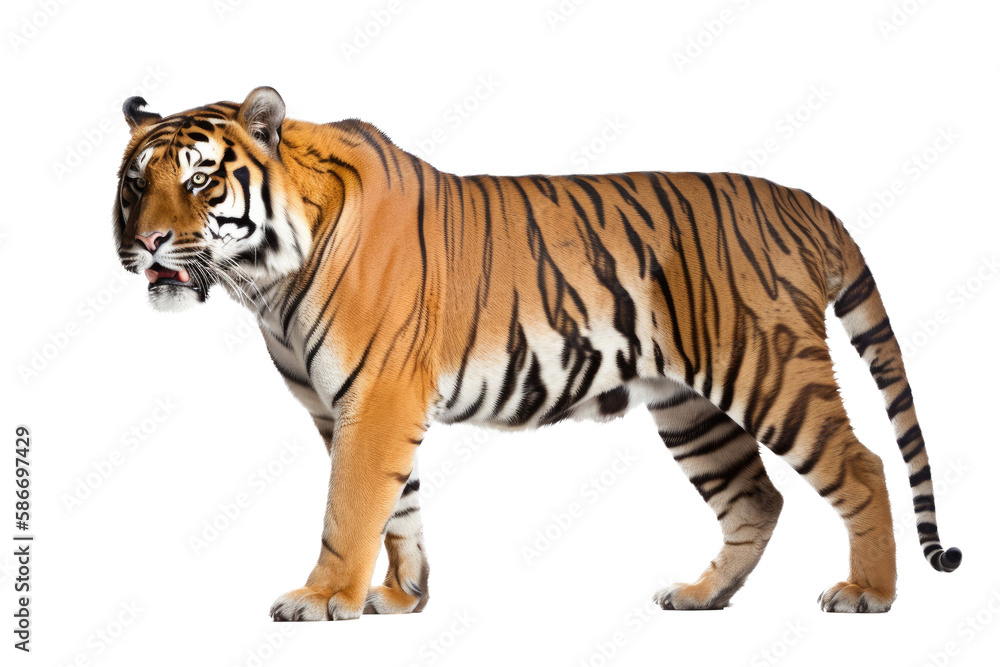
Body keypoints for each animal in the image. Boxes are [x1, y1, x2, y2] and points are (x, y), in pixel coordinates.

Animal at [113, 86, 961, 620]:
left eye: (202, 177)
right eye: (133, 183)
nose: (146, 242)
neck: (264, 281)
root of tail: (802, 200)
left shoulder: (376, 397)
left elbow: (349, 507)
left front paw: (322, 599)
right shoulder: (349, 408)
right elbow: (397, 508)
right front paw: (403, 597)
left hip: (770, 370)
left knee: (862, 464)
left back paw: (868, 592)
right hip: (691, 408)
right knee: (757, 498)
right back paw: (701, 596)